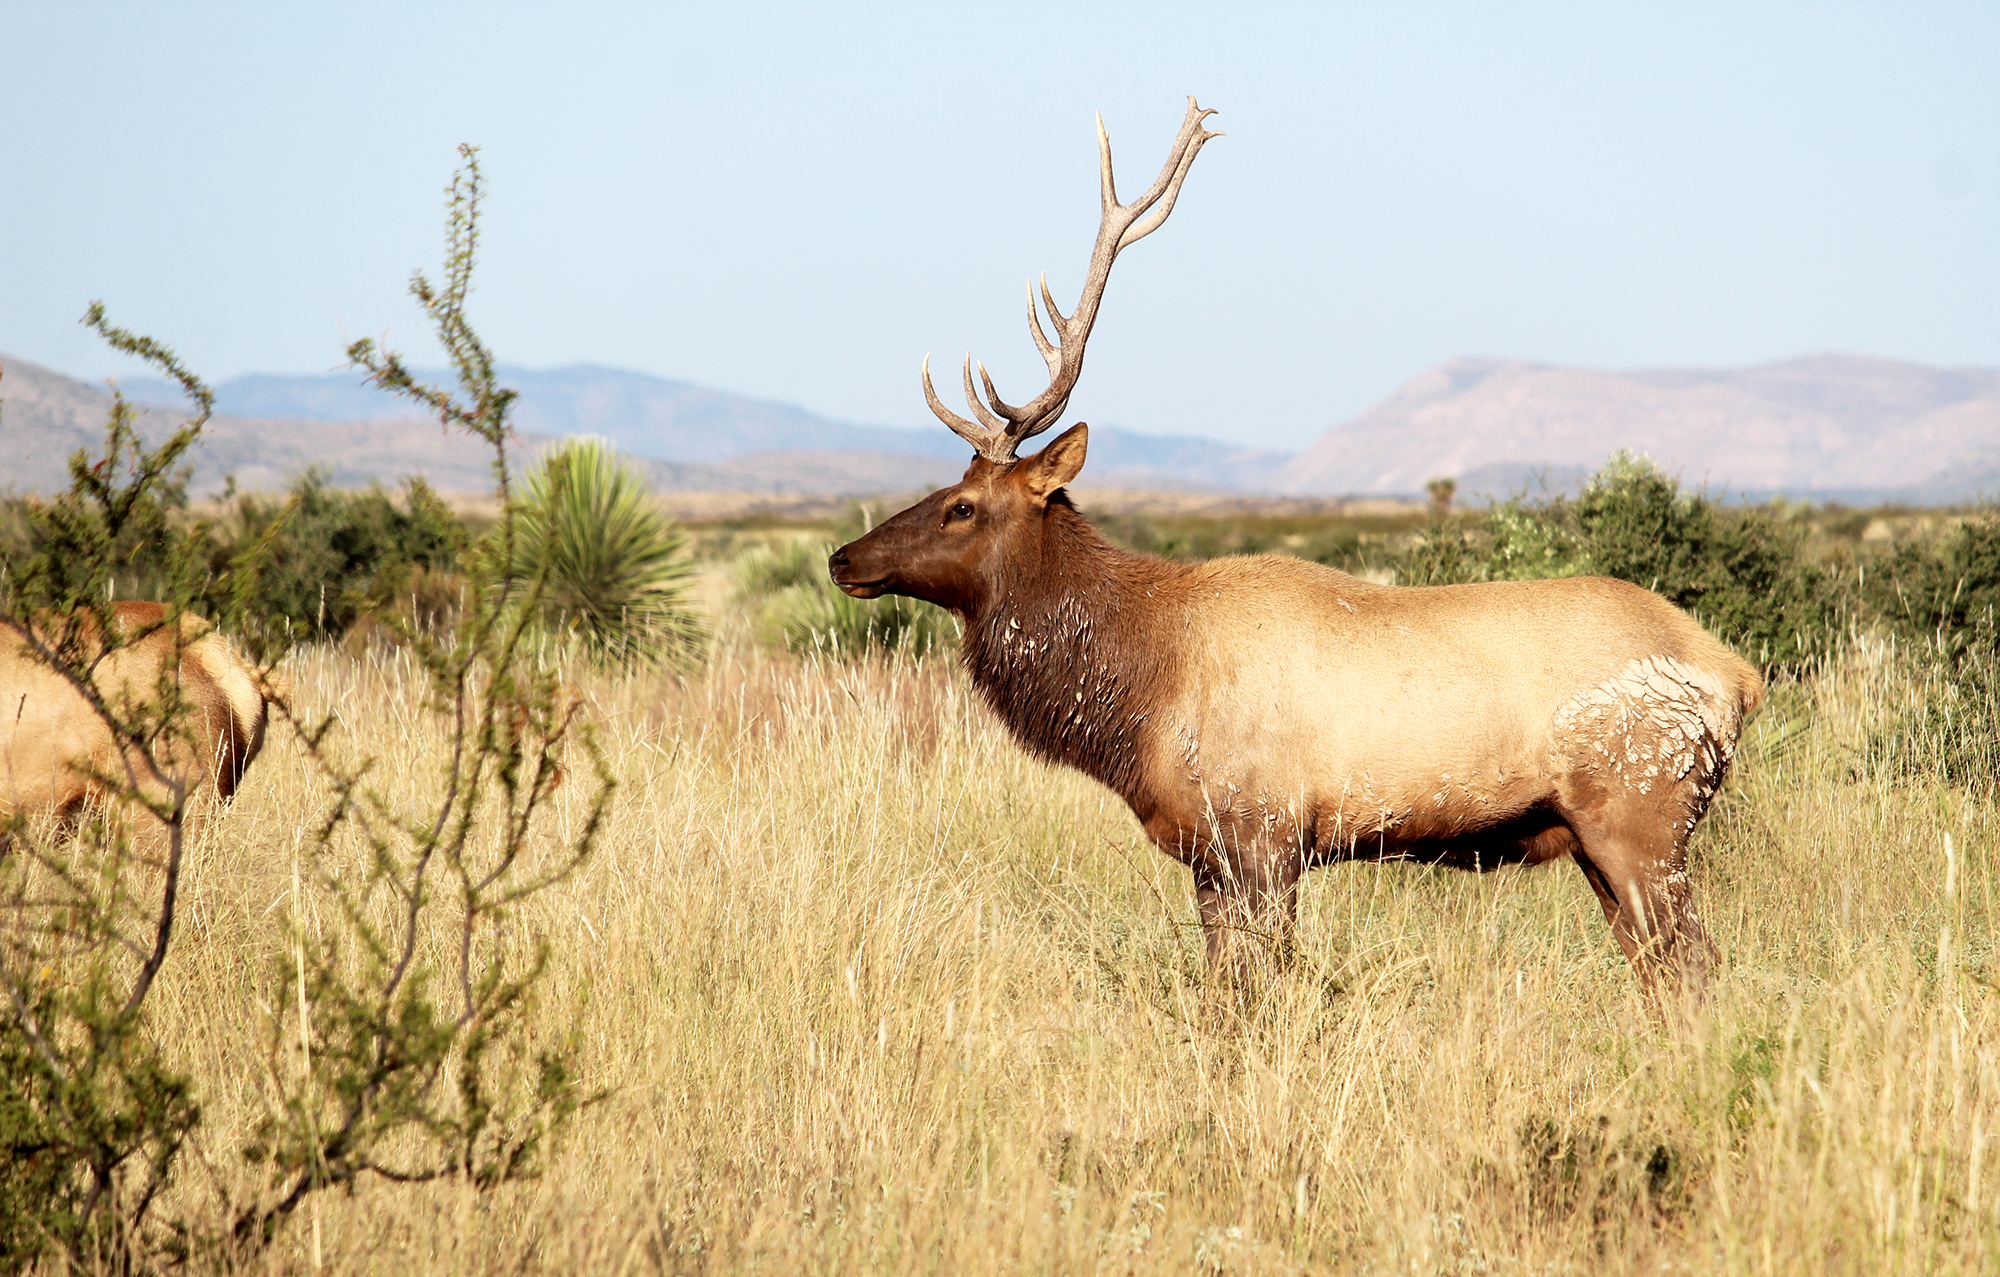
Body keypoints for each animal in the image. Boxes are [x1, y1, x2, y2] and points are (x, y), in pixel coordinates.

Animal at [828, 98, 1763, 1000]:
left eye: (962, 506)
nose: (842, 558)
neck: (1139, 696)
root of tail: (1735, 676)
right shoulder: (1209, 856)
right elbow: (1222, 993)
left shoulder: (1266, 834)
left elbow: (1261, 991)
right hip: (1595, 836)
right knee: (1658, 970)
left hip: (1640, 812)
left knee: (1698, 966)